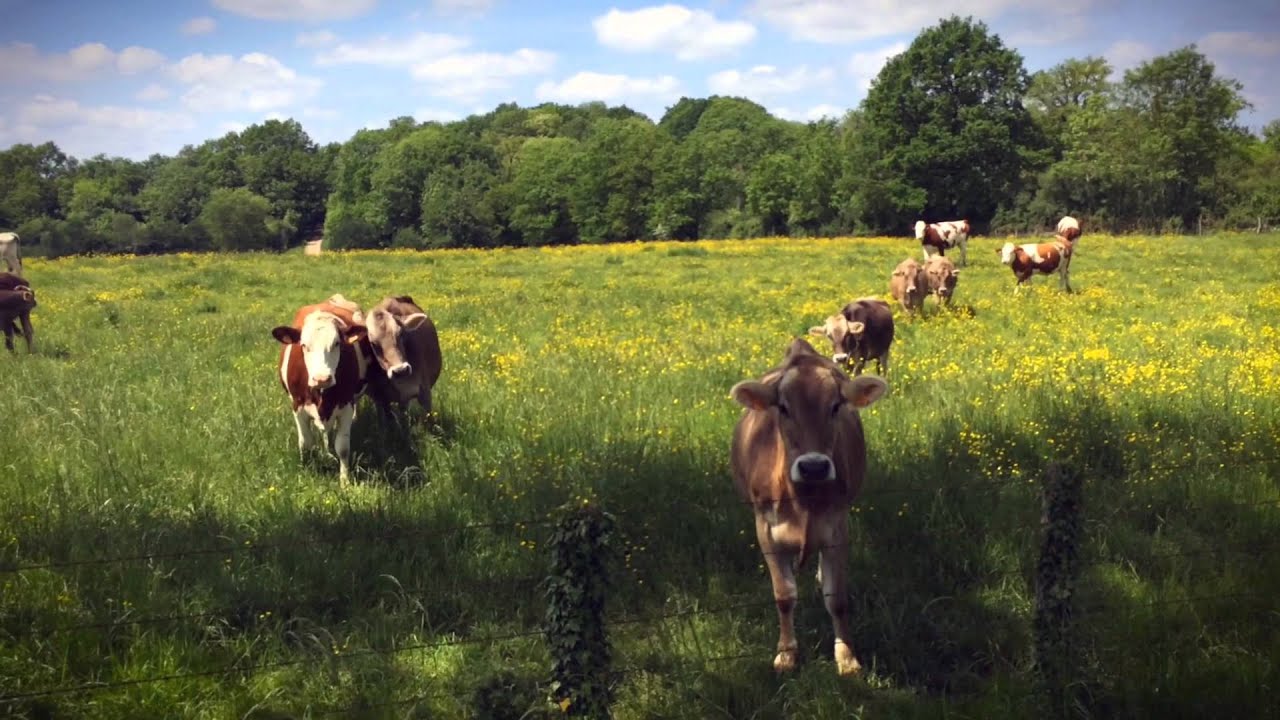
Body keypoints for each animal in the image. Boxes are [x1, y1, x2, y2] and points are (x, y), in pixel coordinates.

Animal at [271, 297, 370, 485]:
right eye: (304, 345)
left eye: (337, 343)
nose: (322, 379)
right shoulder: (298, 406)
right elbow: (305, 443)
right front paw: (307, 472)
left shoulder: (346, 405)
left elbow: (343, 447)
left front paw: (345, 481)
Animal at [729, 337, 889, 676]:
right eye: (783, 408)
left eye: (836, 406)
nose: (813, 466)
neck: (803, 500)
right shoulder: (765, 529)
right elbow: (784, 595)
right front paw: (787, 653)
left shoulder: (838, 528)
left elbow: (836, 598)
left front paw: (846, 656)